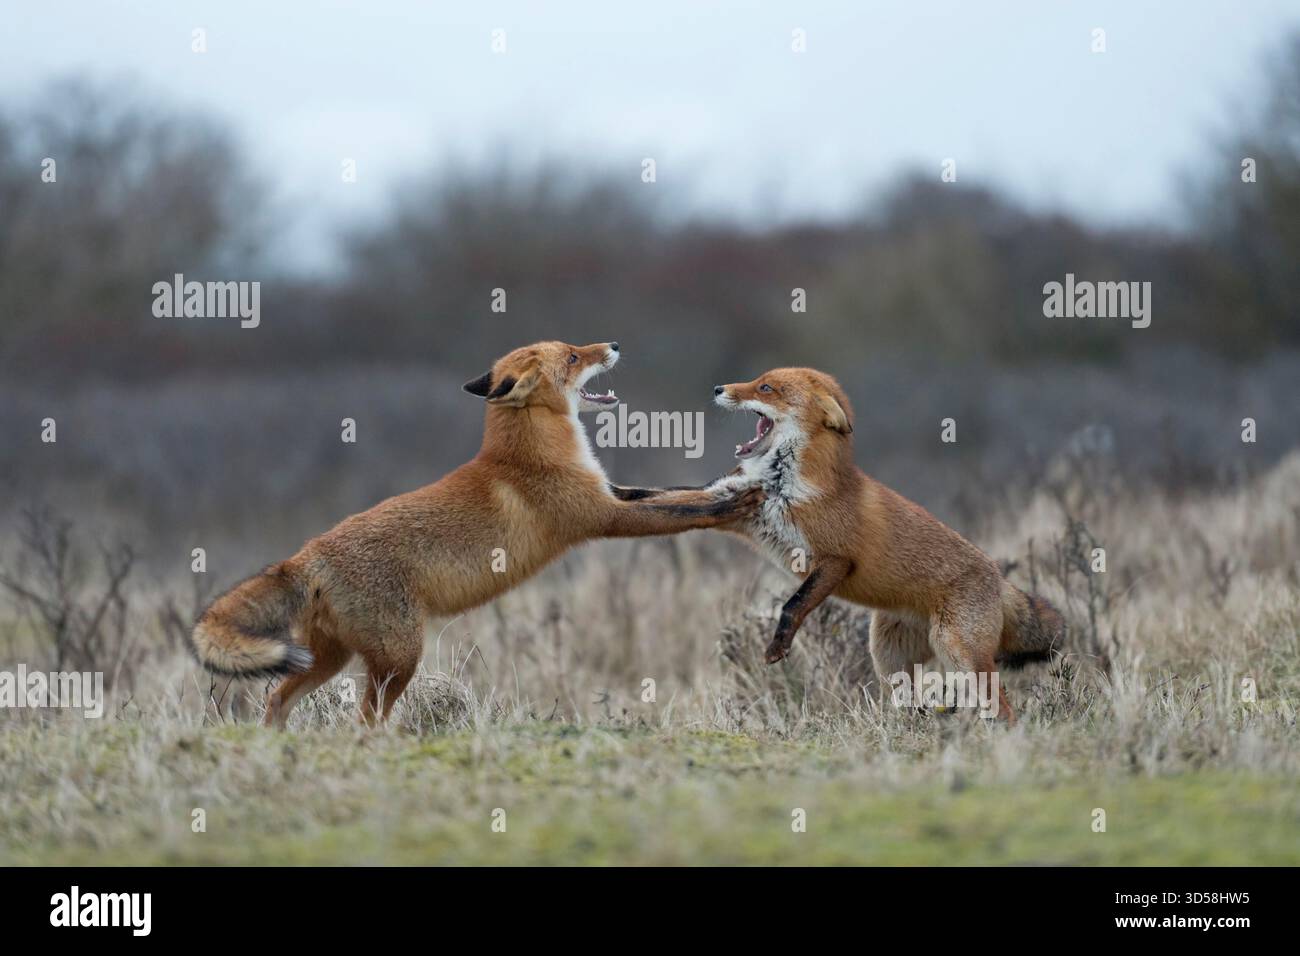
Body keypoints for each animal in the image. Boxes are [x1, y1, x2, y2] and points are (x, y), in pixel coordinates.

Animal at [189, 341, 759, 726]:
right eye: (575, 356)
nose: (614, 344)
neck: (530, 453)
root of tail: (307, 554)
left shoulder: (612, 493)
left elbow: (678, 492)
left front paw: (732, 486)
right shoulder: (602, 517)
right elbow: (681, 513)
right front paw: (735, 504)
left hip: (334, 657)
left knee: (276, 698)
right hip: (399, 658)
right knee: (366, 720)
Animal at [619, 367, 1063, 723]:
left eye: (765, 387)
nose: (717, 388)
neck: (784, 484)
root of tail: (998, 576)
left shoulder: (835, 560)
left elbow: (793, 604)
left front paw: (777, 646)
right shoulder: (726, 500)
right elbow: (659, 496)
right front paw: (616, 492)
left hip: (959, 651)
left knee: (1002, 705)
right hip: (888, 656)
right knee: (911, 698)